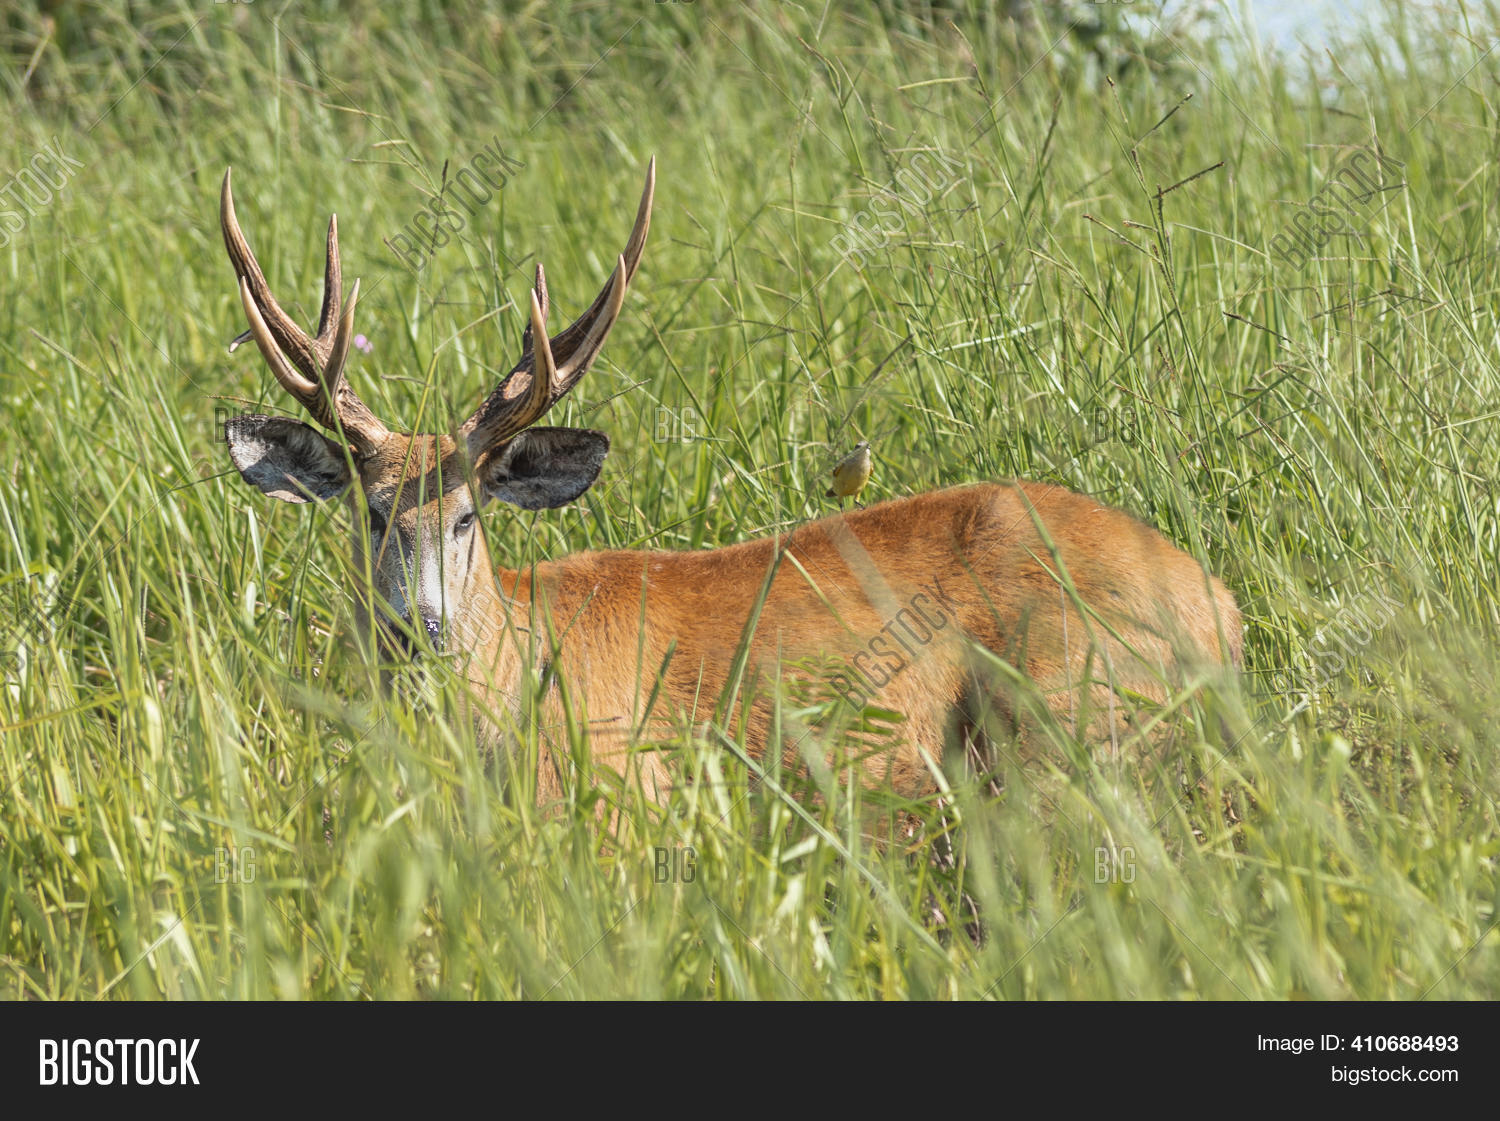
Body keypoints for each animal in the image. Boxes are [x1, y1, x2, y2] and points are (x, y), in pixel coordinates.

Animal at [218, 159, 1242, 810]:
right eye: (372, 512)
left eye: (469, 516)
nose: (418, 629)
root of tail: (1218, 606)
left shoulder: (628, 794)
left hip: (1066, 714)